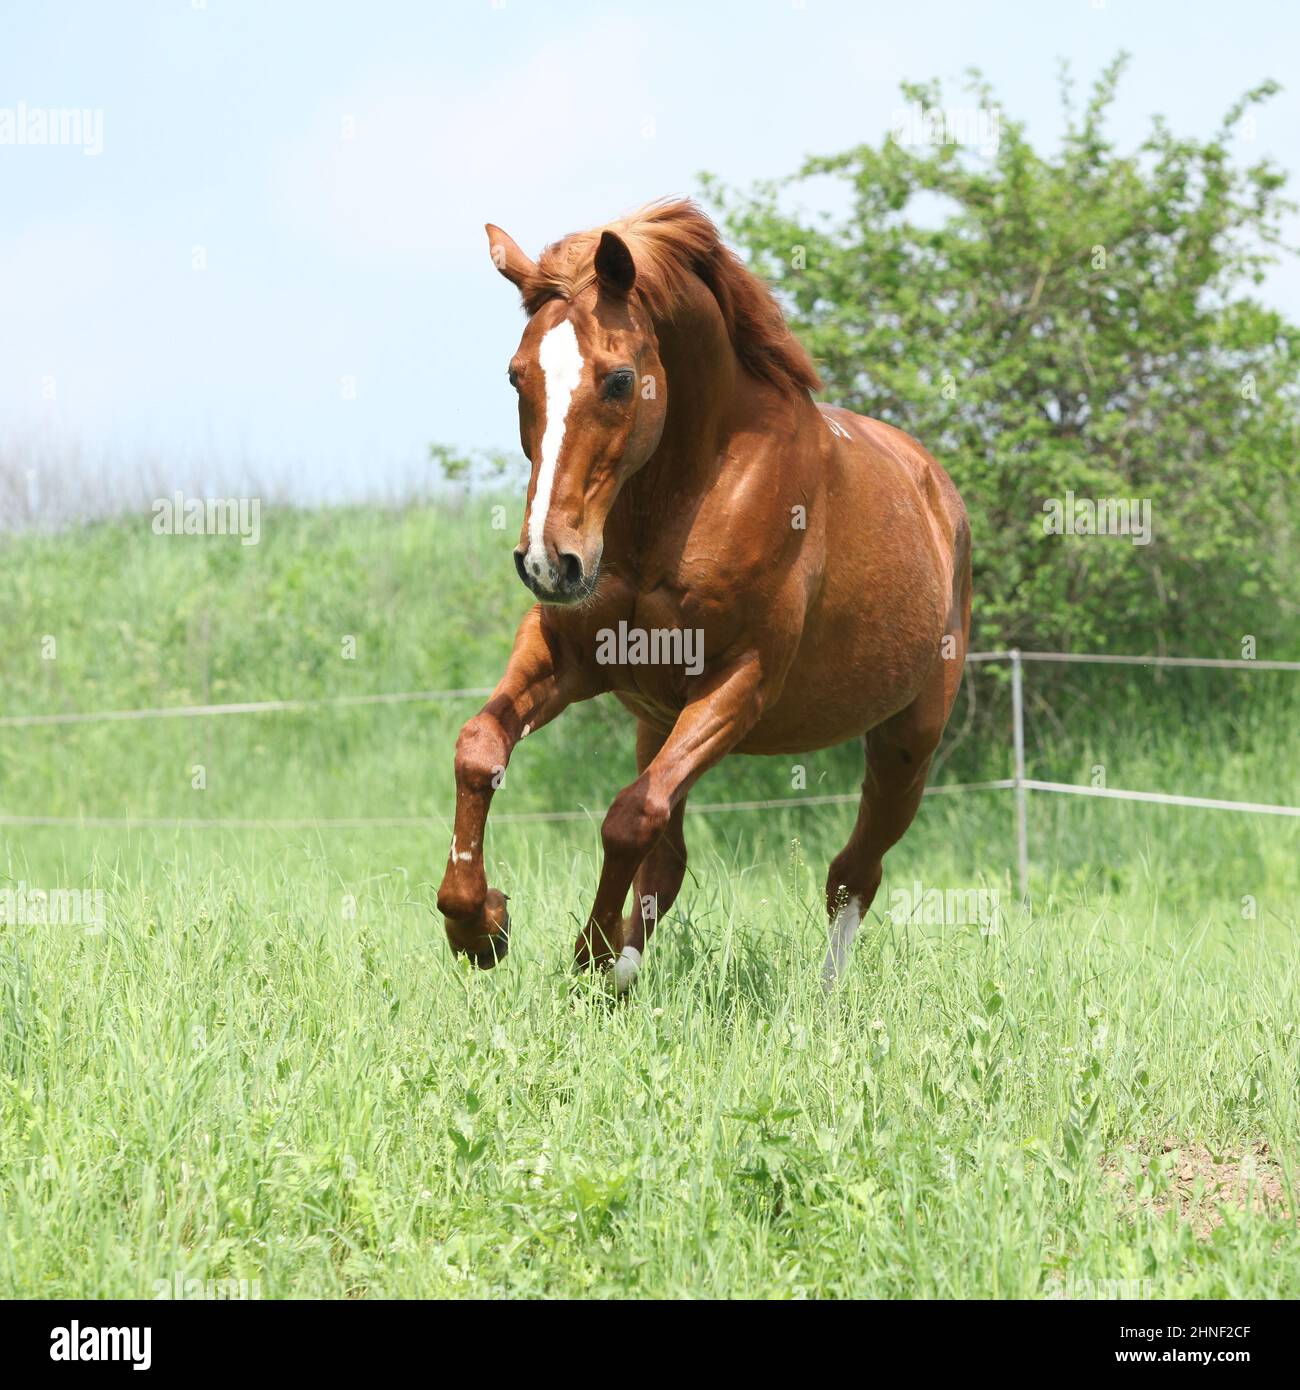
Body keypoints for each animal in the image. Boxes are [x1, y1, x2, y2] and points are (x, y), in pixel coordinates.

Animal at [437, 199, 971, 991]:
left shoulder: (740, 681)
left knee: (853, 872)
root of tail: (936, 491)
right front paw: (480, 928)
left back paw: (821, 997)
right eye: (515, 377)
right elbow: (479, 749)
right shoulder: (568, 653)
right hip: (656, 722)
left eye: (619, 379)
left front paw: (590, 956)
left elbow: (629, 817)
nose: (547, 562)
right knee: (672, 855)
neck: (683, 497)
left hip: (907, 742)